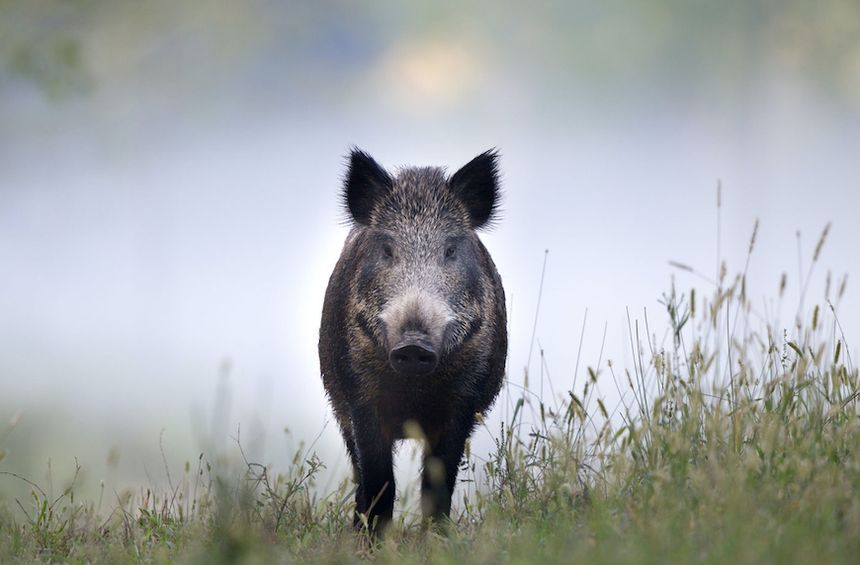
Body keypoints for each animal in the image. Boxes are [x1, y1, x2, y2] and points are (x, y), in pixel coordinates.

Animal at [318, 148, 507, 534]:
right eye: (388, 248)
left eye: (450, 250)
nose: (413, 345)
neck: (414, 392)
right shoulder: (360, 396)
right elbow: (378, 480)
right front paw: (374, 540)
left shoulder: (463, 399)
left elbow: (439, 480)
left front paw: (437, 539)